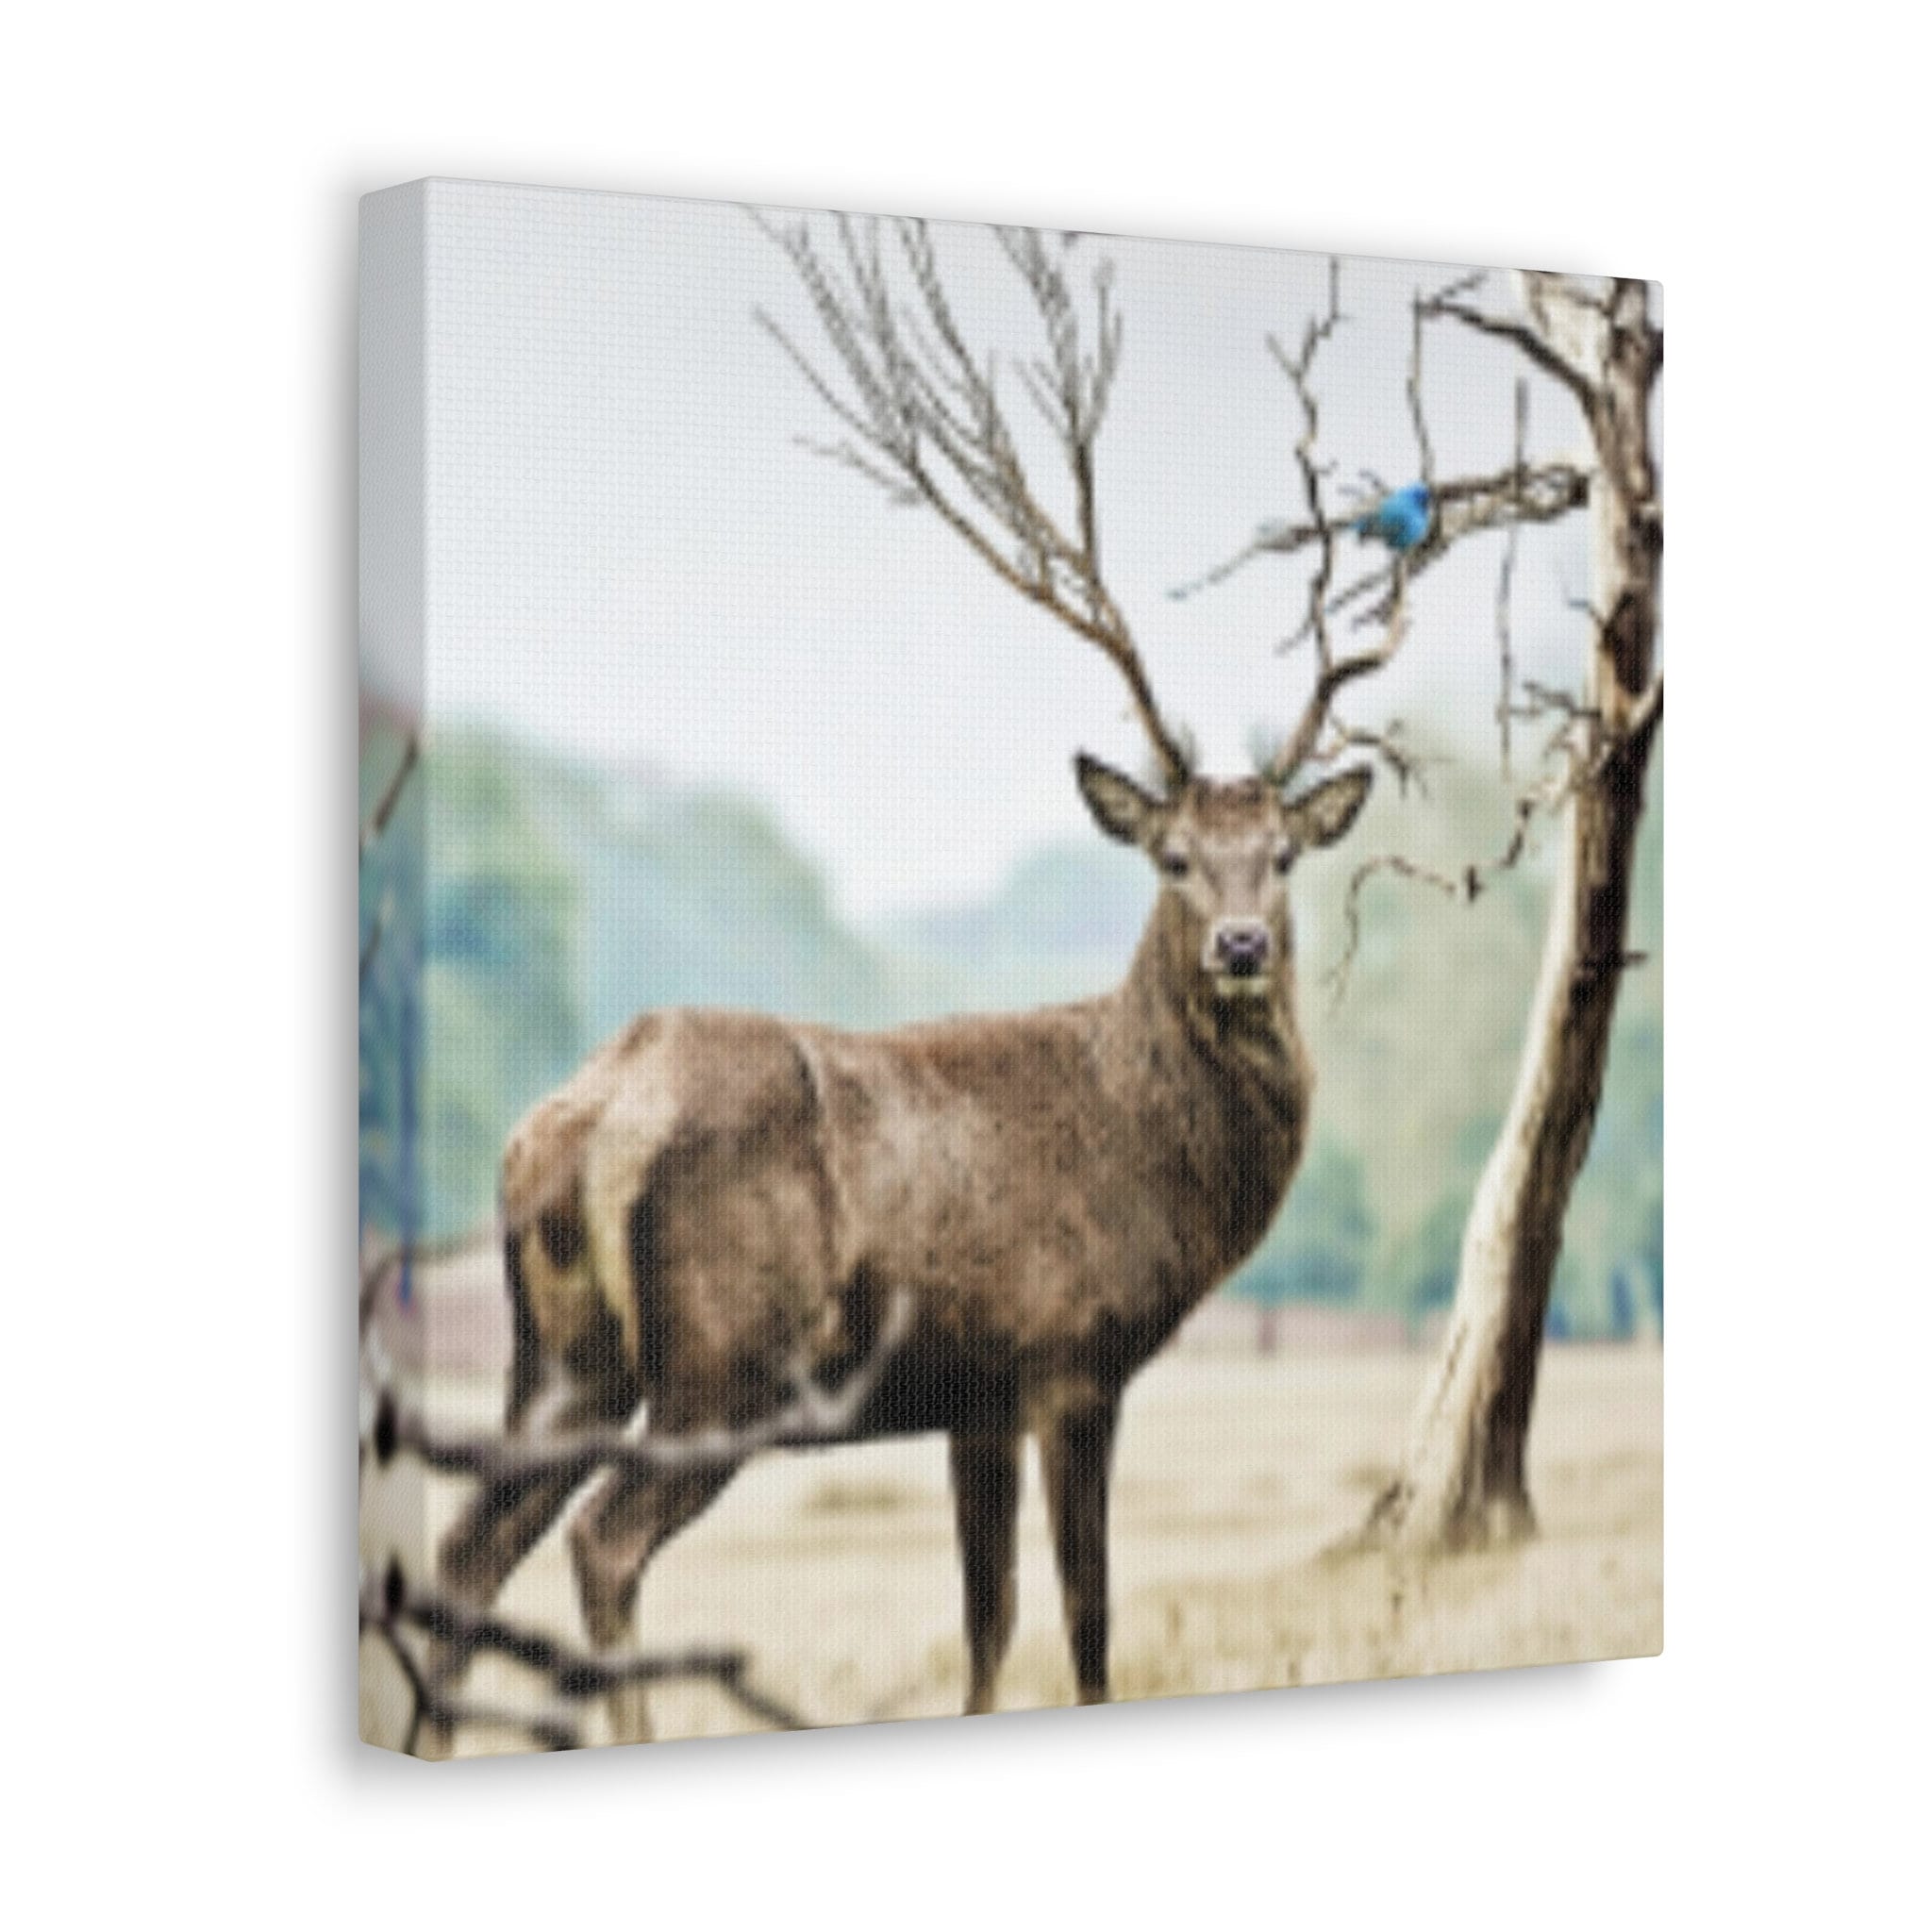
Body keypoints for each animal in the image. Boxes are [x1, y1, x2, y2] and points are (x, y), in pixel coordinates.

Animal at [428, 218, 1409, 1746]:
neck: (1150, 1153)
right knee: (600, 1539)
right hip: (727, 1357)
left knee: (468, 1546)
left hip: (567, 1354)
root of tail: (581, 1115)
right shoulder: (1069, 1356)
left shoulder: (974, 1392)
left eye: (1284, 856)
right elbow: (1085, 1617)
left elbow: (988, 1623)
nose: (1242, 946)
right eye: (1175, 857)